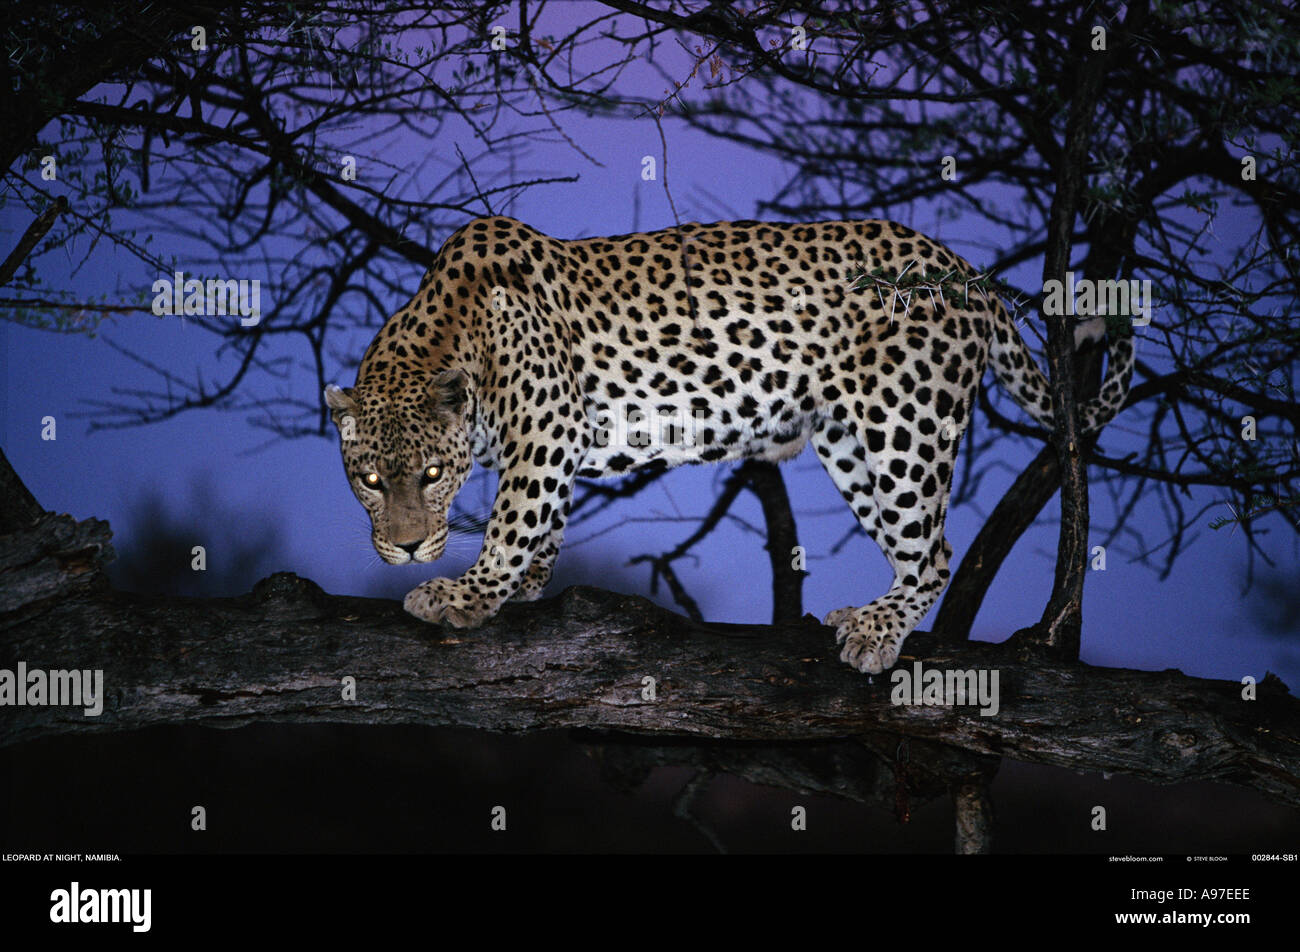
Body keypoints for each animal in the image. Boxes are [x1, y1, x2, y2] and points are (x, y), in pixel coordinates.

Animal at [326, 215, 1133, 674]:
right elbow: (542, 519)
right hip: (850, 442)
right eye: (369, 479)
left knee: (933, 550)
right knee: (914, 545)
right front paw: (525, 585)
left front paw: (465, 594)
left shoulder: (547, 429)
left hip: (903, 421)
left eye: (433, 472)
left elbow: (512, 519)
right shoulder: (552, 441)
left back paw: (879, 632)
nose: (404, 548)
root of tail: (962, 270)